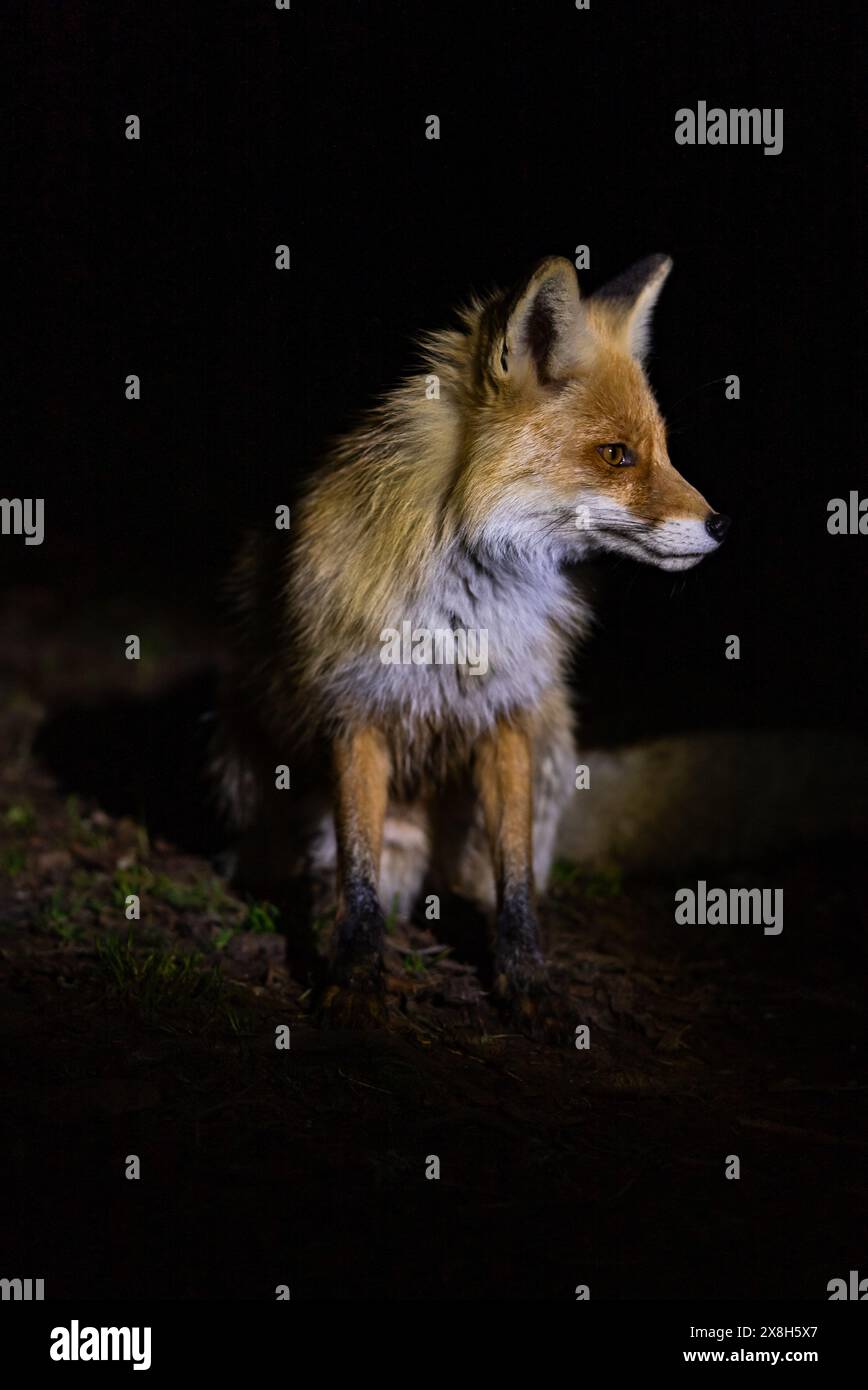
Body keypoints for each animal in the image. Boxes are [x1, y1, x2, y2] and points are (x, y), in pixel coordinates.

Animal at [213, 253, 730, 1034]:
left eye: (664, 452)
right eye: (617, 455)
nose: (721, 526)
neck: (466, 620)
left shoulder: (510, 717)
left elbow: (513, 872)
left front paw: (525, 976)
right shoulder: (355, 711)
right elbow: (357, 869)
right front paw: (355, 974)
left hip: (553, 741)